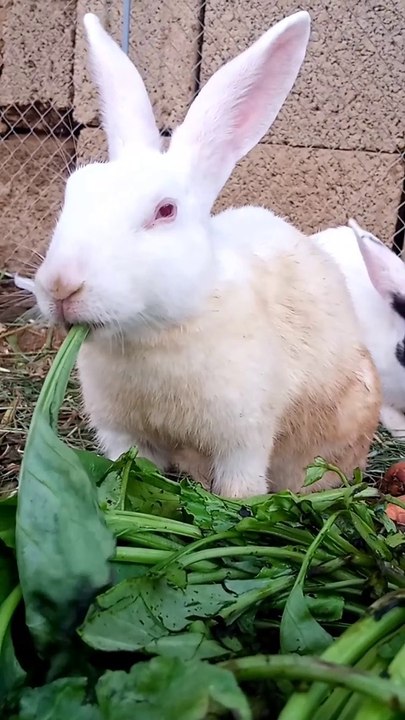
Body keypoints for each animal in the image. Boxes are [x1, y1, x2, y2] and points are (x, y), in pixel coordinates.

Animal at [28, 11, 381, 499]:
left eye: (165, 210)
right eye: (73, 191)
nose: (61, 285)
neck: (153, 333)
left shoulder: (244, 438)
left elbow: (240, 489)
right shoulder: (122, 435)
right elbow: (129, 469)